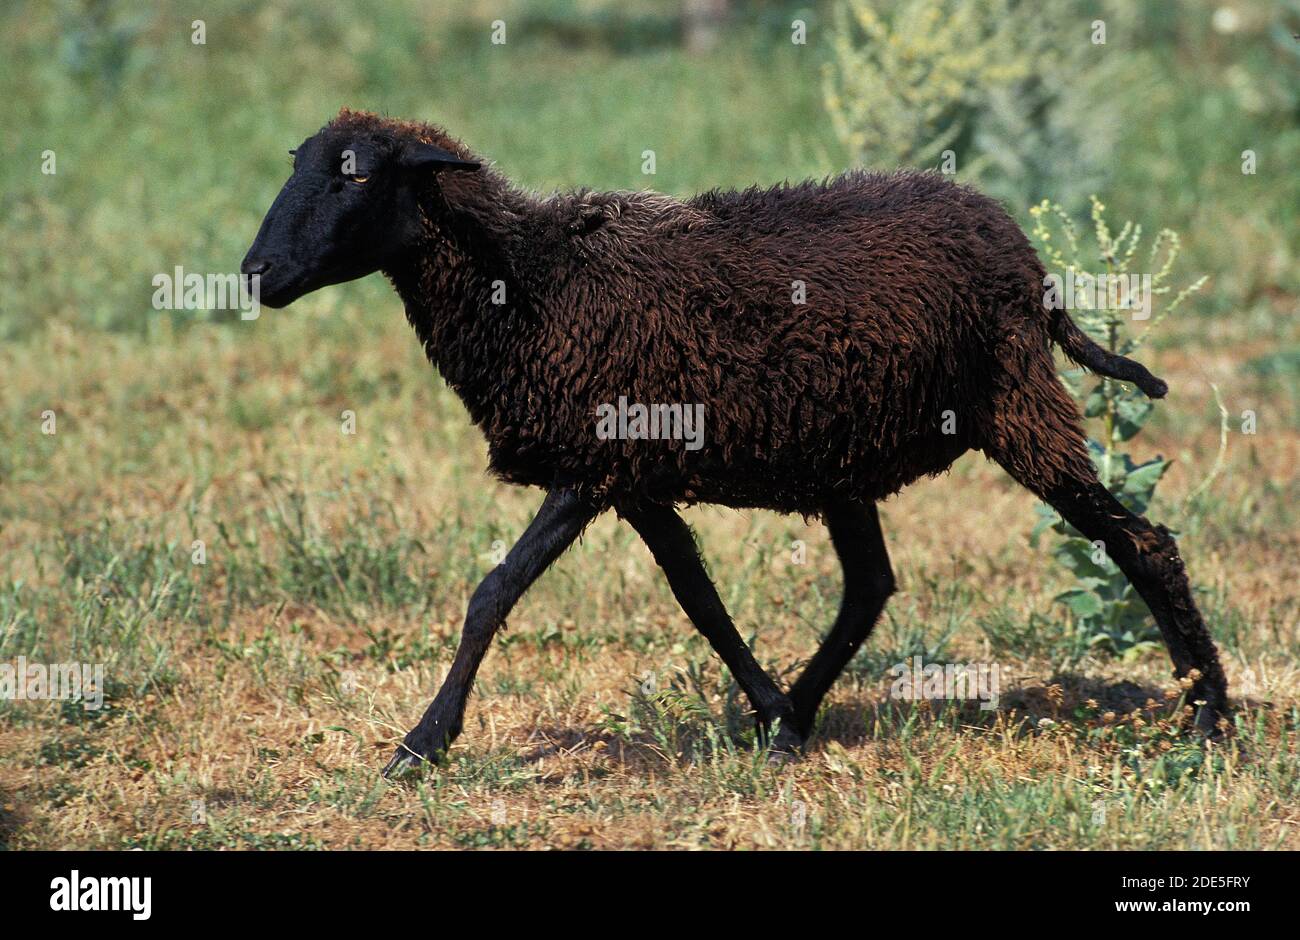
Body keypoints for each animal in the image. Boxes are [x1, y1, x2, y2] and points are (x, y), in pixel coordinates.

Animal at [241, 108, 1228, 775]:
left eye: (357, 177)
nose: (255, 272)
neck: (529, 278)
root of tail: (1028, 260)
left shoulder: (591, 462)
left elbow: (493, 593)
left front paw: (421, 744)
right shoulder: (632, 478)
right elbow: (700, 599)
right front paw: (768, 713)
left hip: (1017, 405)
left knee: (1143, 543)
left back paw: (1209, 716)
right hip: (850, 455)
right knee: (871, 586)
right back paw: (800, 712)